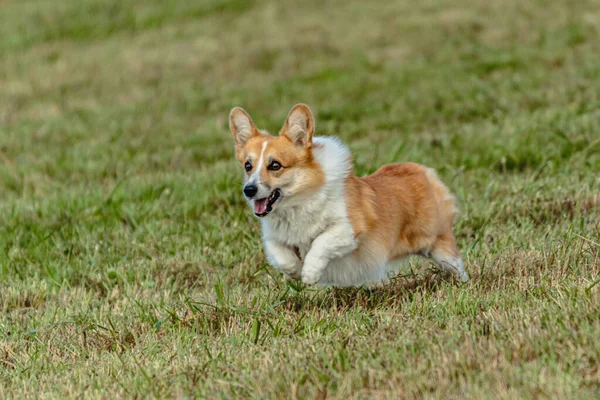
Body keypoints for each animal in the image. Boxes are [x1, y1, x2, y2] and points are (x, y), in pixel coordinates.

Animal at [230, 103, 468, 284]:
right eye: (248, 166)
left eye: (275, 165)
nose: (249, 190)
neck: (298, 203)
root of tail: (421, 170)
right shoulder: (273, 238)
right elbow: (282, 257)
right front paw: (296, 271)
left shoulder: (348, 230)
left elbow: (320, 243)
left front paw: (309, 273)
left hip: (439, 246)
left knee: (456, 263)